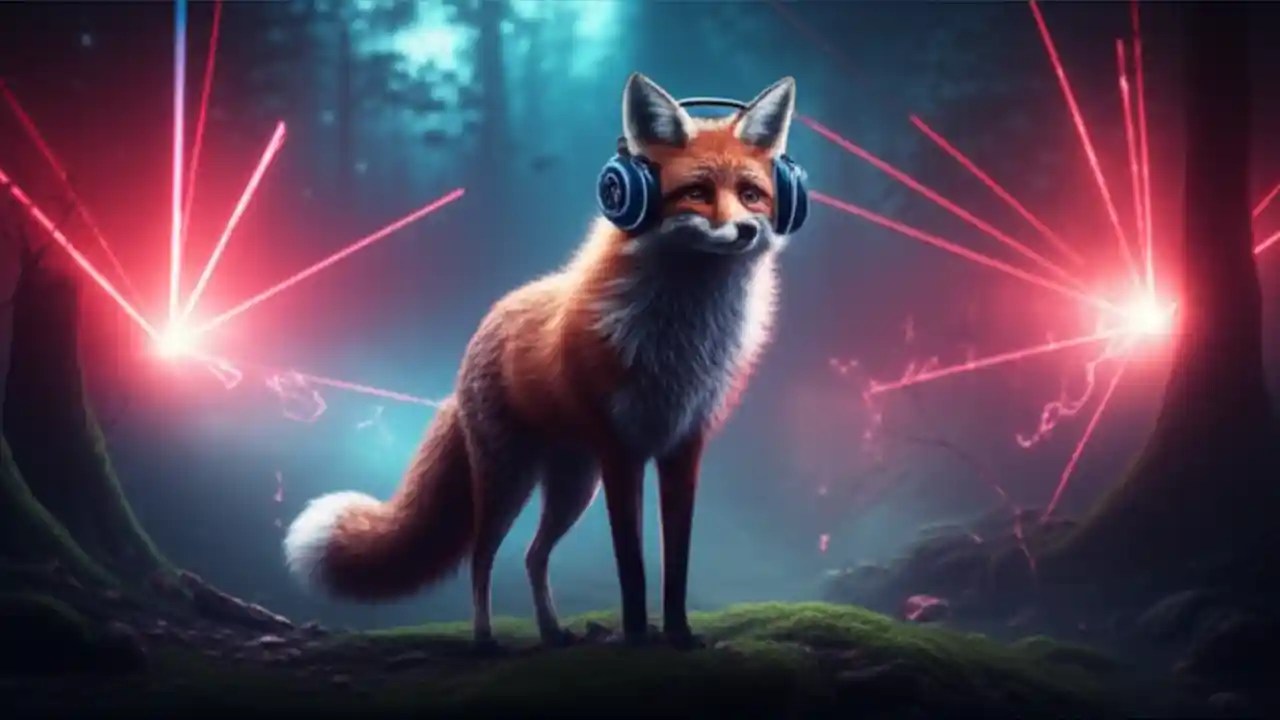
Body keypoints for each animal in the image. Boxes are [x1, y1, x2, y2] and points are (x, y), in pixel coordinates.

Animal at [283, 72, 806, 650]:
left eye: (752, 195)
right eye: (697, 193)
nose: (746, 231)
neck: (683, 337)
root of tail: (485, 326)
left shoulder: (682, 449)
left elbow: (677, 565)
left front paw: (678, 635)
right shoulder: (621, 452)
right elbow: (632, 566)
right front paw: (635, 637)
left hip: (573, 486)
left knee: (534, 557)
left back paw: (554, 632)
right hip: (508, 479)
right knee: (482, 559)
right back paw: (485, 640)